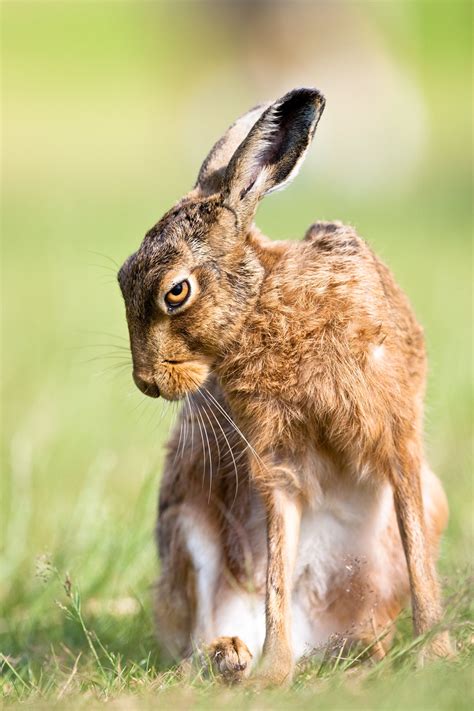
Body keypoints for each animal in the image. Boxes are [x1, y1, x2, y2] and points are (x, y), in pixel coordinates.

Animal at [118, 88, 452, 686]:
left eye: (175, 292)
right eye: (121, 278)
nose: (147, 383)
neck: (260, 305)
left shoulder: (396, 436)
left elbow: (417, 556)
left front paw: (438, 657)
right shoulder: (277, 462)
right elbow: (276, 567)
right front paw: (275, 674)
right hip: (185, 526)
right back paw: (232, 657)